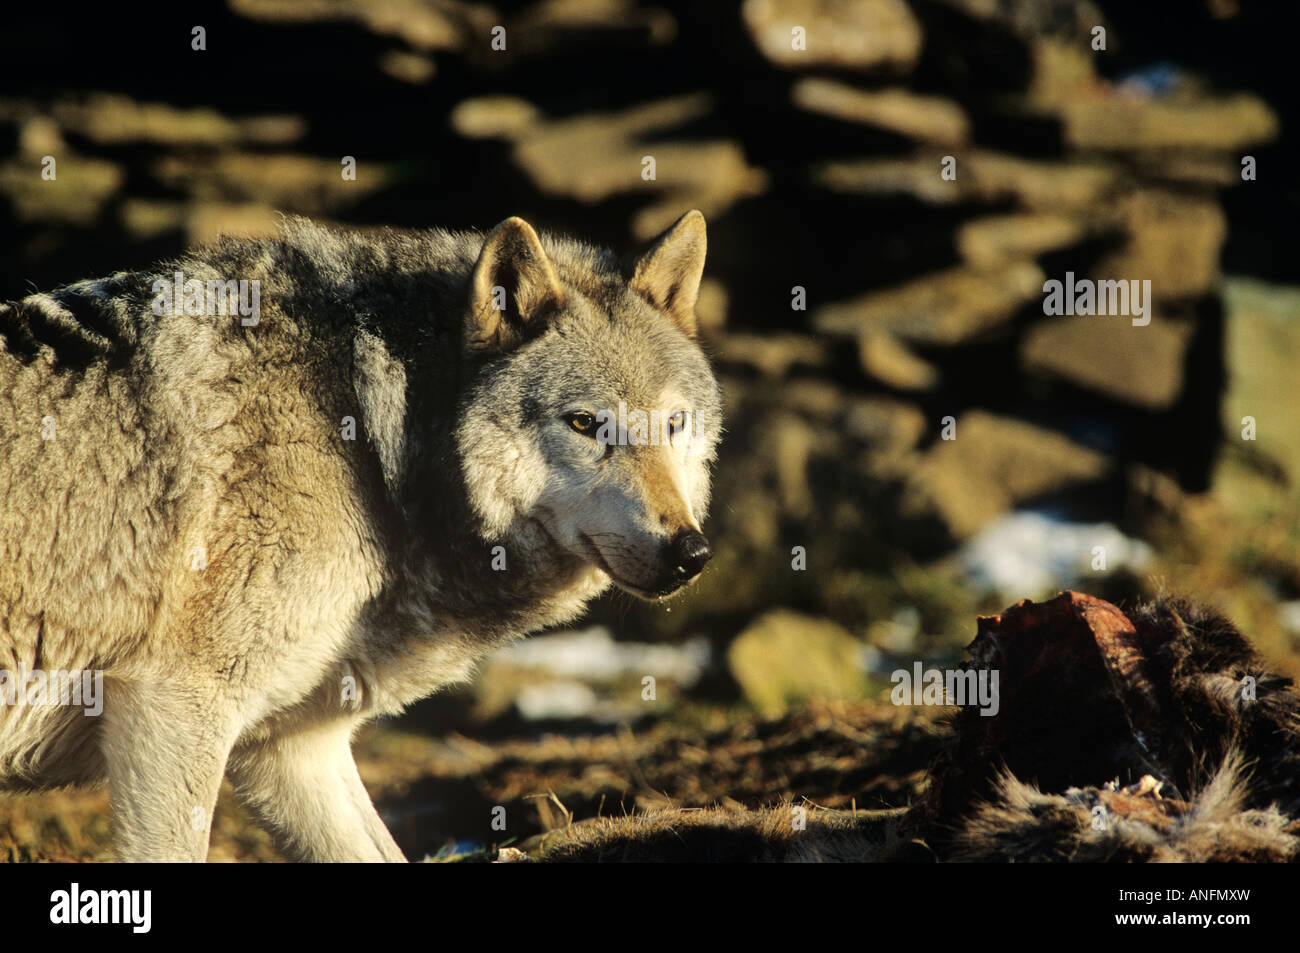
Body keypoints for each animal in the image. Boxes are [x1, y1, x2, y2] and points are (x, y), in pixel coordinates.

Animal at [0, 210, 722, 861]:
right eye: (584, 423)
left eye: (675, 422)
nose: (691, 553)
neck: (368, 448)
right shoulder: (171, 709)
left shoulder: (292, 747)